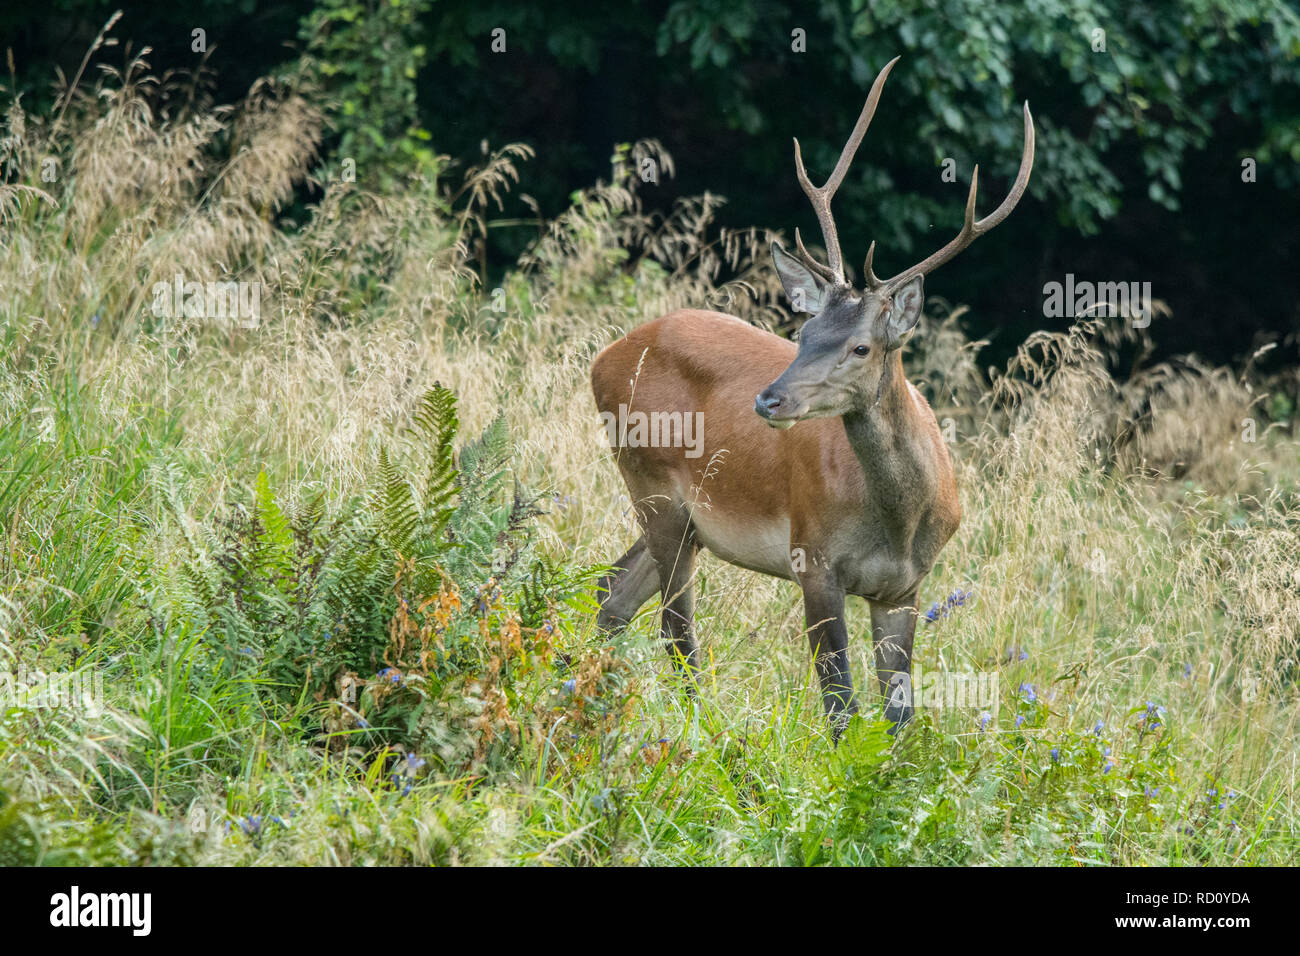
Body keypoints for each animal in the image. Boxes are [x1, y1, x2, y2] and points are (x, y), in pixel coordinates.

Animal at [590, 56, 1034, 735]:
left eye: (861, 347)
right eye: (802, 332)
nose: (768, 401)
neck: (897, 523)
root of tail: (604, 357)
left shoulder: (906, 587)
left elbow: (899, 716)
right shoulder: (814, 557)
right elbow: (840, 705)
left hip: (684, 518)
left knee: (614, 594)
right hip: (653, 482)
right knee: (674, 628)